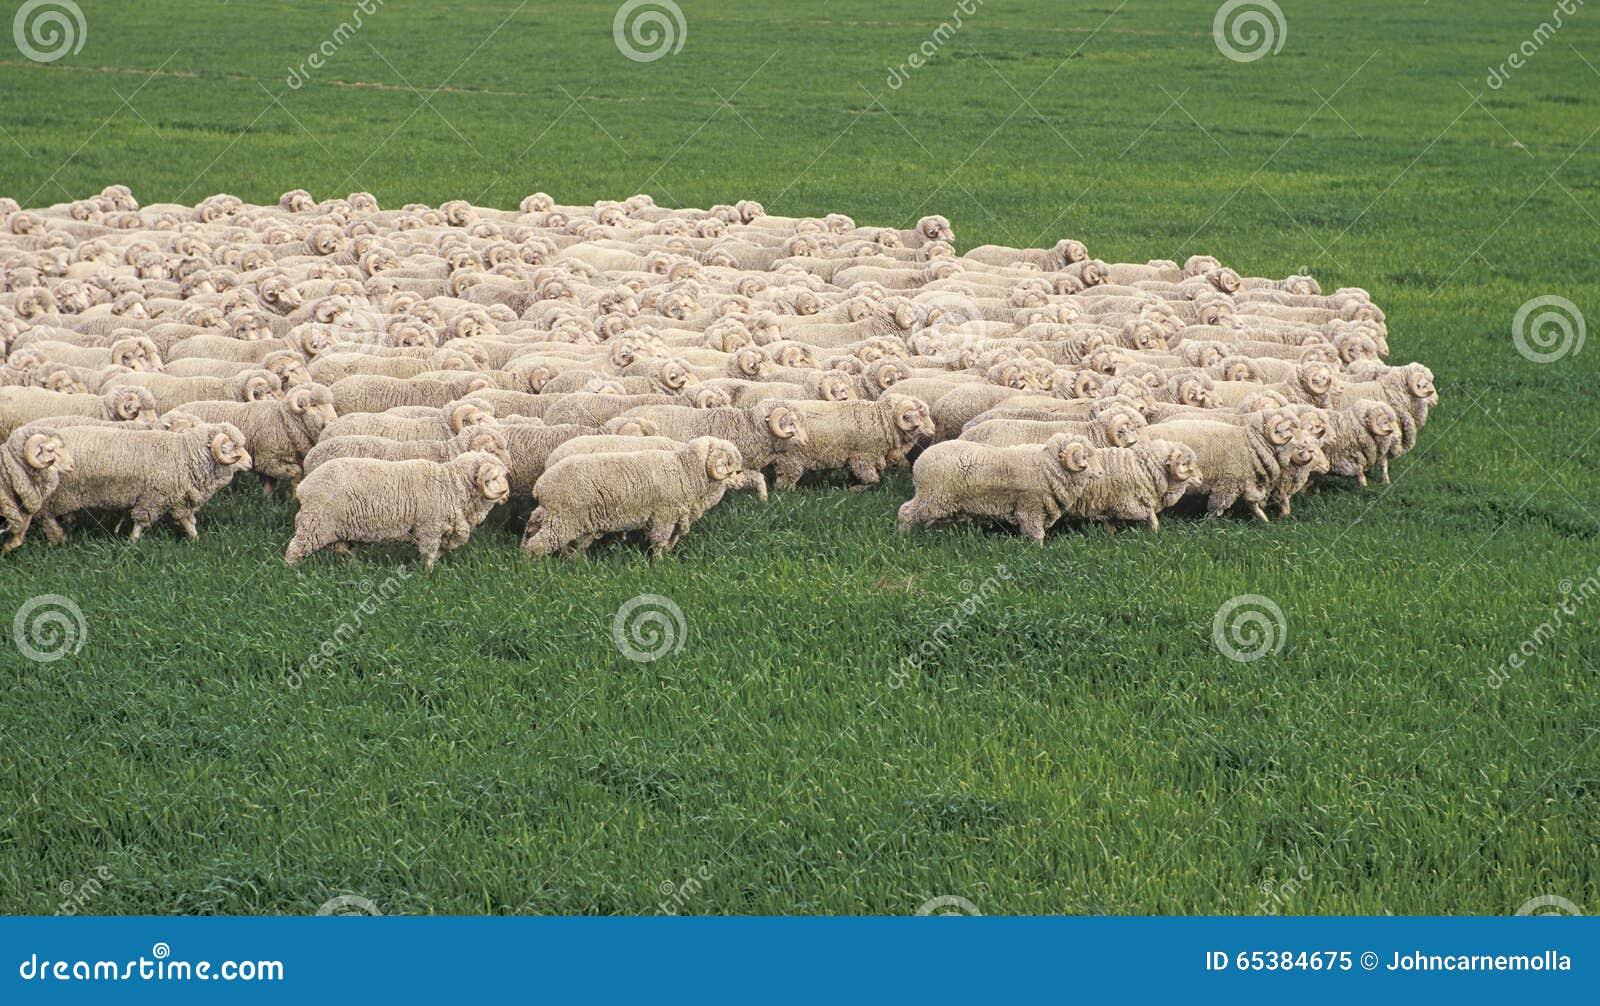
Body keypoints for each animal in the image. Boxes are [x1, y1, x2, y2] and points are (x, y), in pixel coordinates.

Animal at [37, 422, 251, 542]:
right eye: (232, 448)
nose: (250, 462)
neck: (185, 454)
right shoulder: (154, 497)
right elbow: (141, 521)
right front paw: (131, 543)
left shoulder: (177, 498)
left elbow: (186, 521)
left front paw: (196, 540)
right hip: (60, 494)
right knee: (46, 515)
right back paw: (57, 538)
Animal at [284, 451, 510, 569]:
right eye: (494, 477)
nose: (507, 494)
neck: (450, 485)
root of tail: (305, 485)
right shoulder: (429, 528)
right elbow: (429, 554)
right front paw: (428, 576)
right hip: (315, 524)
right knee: (295, 549)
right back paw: (290, 571)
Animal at [521, 437, 761, 557]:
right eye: (731, 466)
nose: (743, 480)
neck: (685, 469)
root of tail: (541, 485)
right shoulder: (664, 513)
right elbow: (659, 540)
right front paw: (658, 563)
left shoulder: (676, 513)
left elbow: (672, 538)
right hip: (564, 519)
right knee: (540, 544)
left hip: (556, 516)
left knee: (534, 525)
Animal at [897, 433, 1103, 542]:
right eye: (1084, 457)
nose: (1101, 473)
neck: (1047, 466)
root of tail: (918, 462)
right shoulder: (1030, 507)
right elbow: (1036, 534)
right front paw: (1038, 552)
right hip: (933, 496)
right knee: (905, 512)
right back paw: (904, 537)